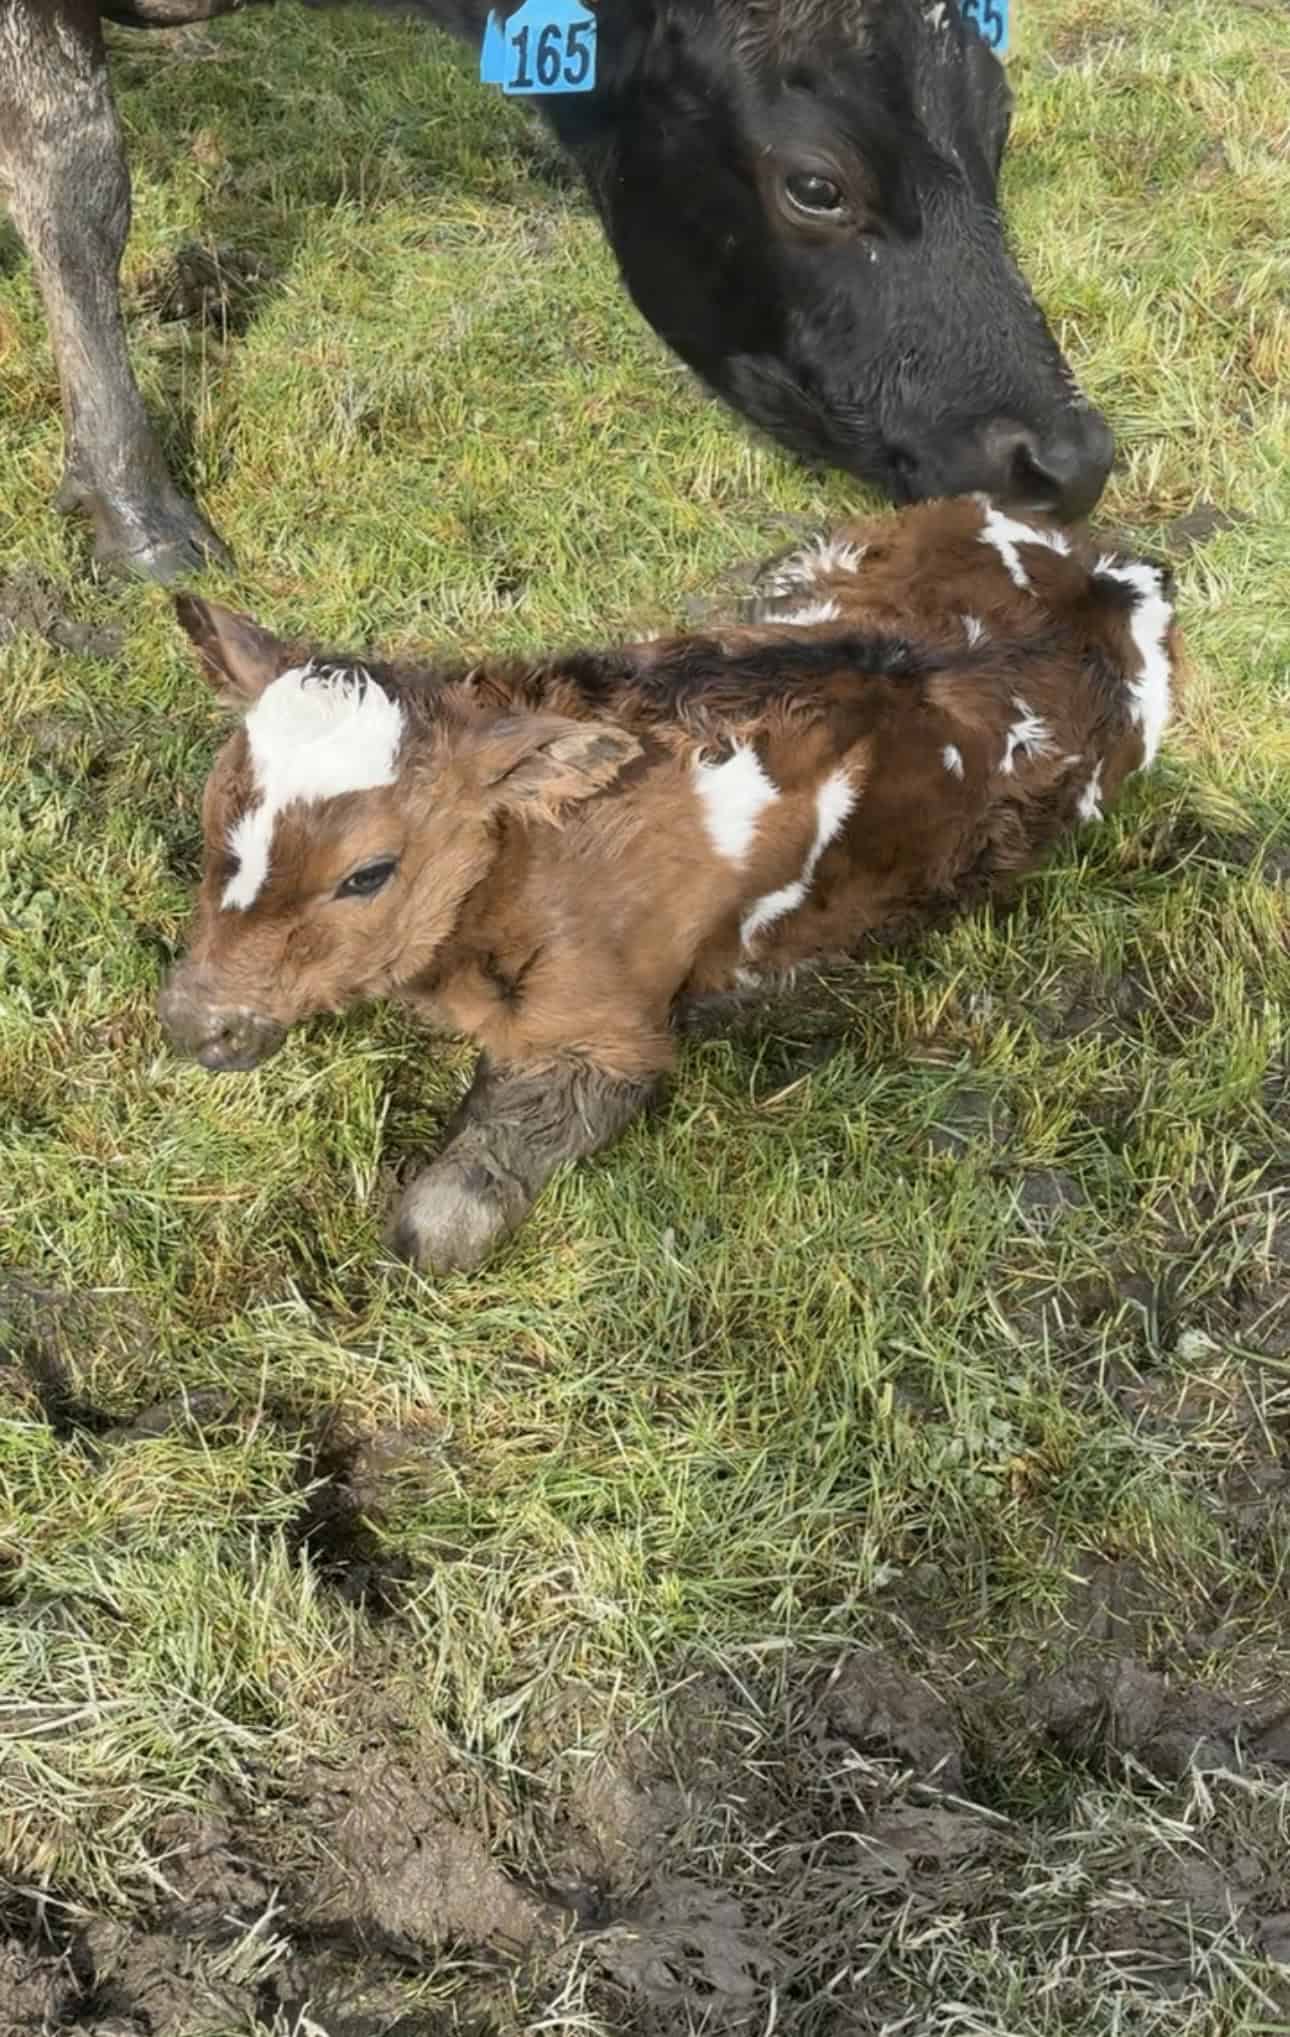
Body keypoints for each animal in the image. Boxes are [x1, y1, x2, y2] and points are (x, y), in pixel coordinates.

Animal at [158, 494, 1180, 1274]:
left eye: (368, 872)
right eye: (211, 813)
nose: (196, 1019)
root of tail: (1112, 568)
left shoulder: (608, 1040)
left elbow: (434, 1230)